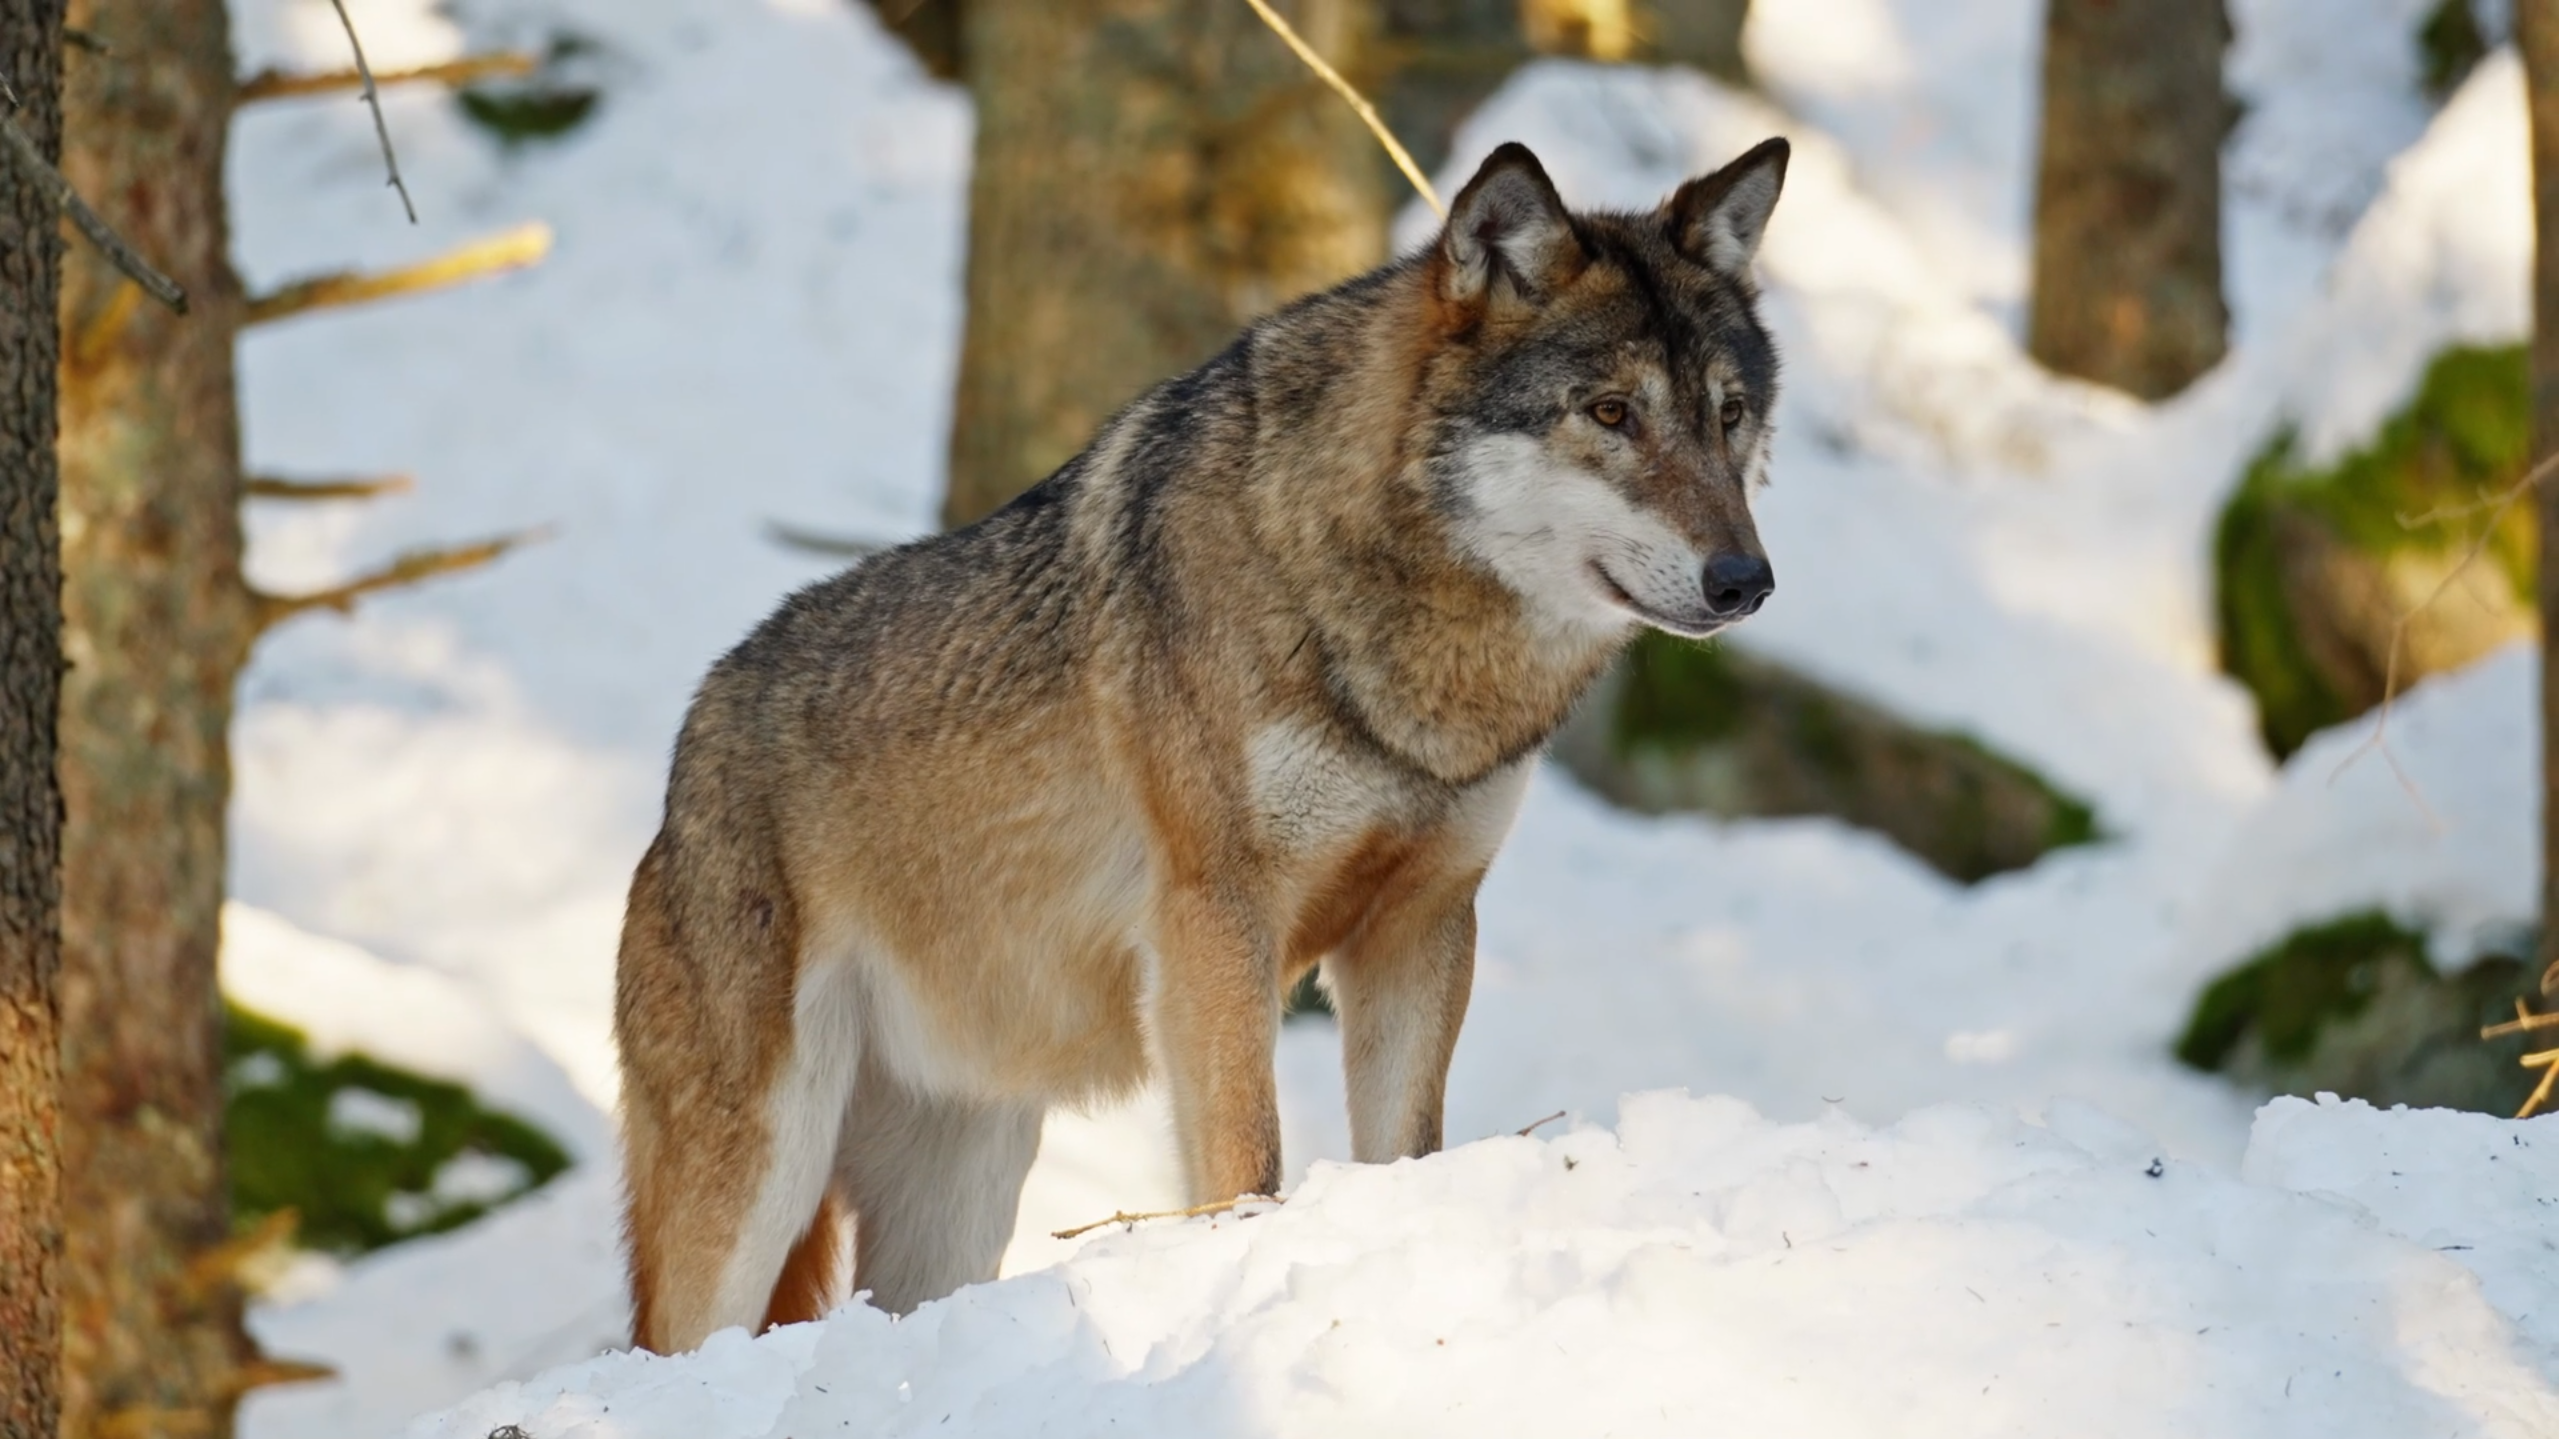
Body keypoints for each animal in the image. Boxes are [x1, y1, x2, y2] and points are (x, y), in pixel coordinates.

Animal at [615, 137, 1790, 1353]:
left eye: (1729, 414)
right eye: (1609, 412)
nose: (1745, 581)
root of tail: (689, 746)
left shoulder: (1423, 922)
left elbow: (1404, 1144)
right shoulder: (1216, 916)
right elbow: (1245, 1153)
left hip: (956, 1200)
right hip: (759, 1183)